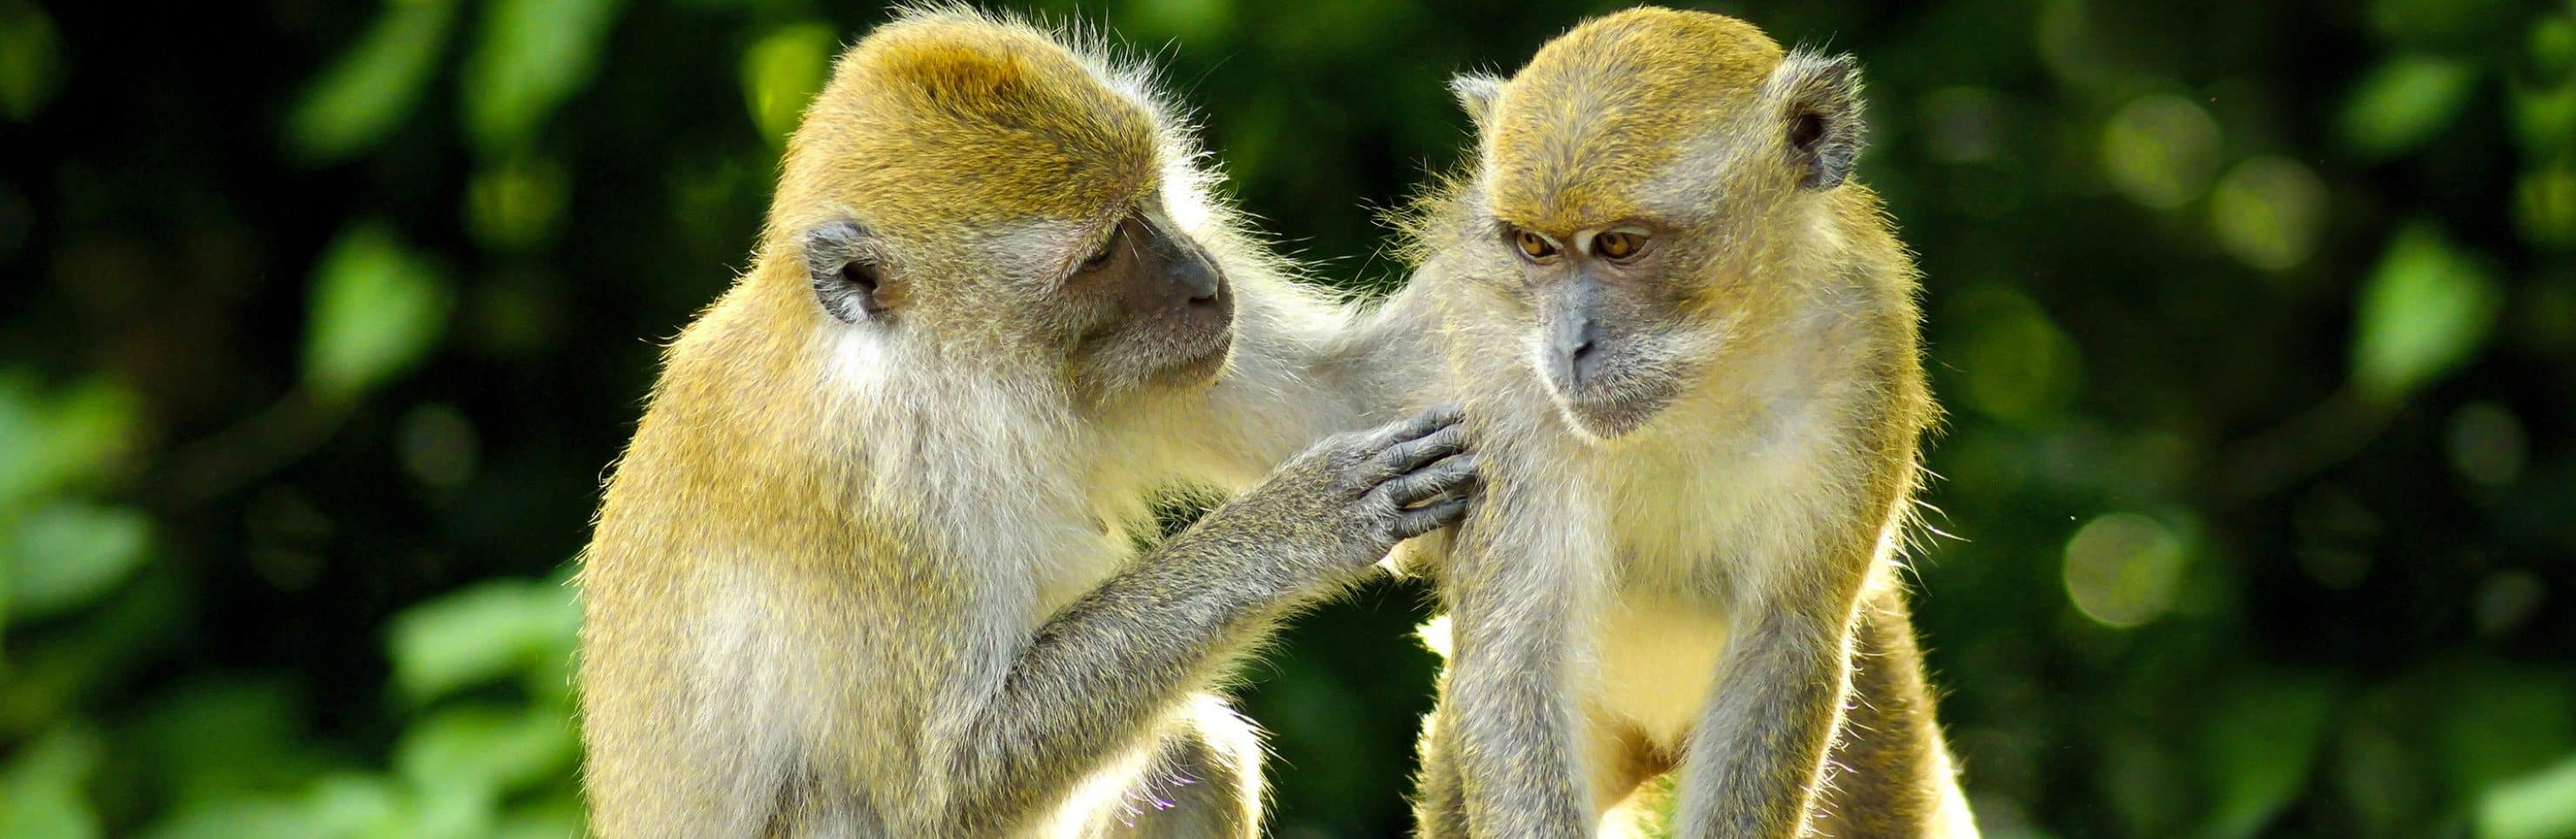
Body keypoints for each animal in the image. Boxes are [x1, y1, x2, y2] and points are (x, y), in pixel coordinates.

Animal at [574, 8, 1476, 838]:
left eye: (1150, 202)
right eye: (1103, 253)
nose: (1205, 282)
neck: (948, 373)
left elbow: (1349, 393)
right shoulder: (870, 496)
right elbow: (947, 786)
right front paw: (1305, 519)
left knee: (1192, 757)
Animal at [1384, 8, 1977, 838]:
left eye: (1620, 244)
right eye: (1535, 246)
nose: (1567, 348)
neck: (1709, 371)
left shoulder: (1866, 351)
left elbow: (1783, 645)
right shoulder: (1502, 376)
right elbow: (1514, 651)